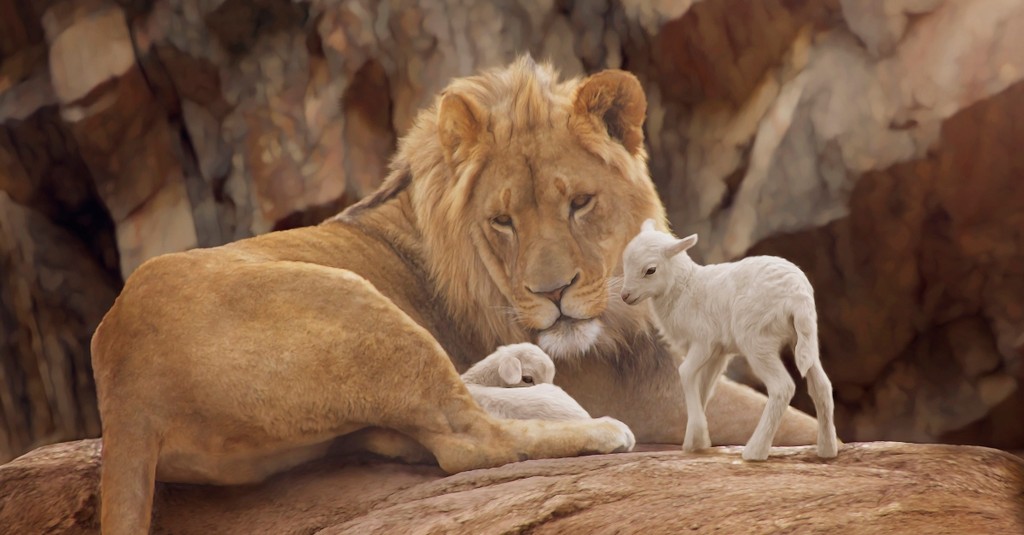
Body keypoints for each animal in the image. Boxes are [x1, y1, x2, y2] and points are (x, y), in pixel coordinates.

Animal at [619, 219, 838, 461]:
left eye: (650, 270)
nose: (625, 296)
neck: (685, 288)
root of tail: (797, 296)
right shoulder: (718, 352)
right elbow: (704, 387)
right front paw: (696, 440)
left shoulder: (703, 341)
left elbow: (685, 373)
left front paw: (697, 436)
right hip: (805, 337)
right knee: (822, 386)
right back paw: (827, 449)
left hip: (757, 340)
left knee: (782, 387)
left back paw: (755, 451)